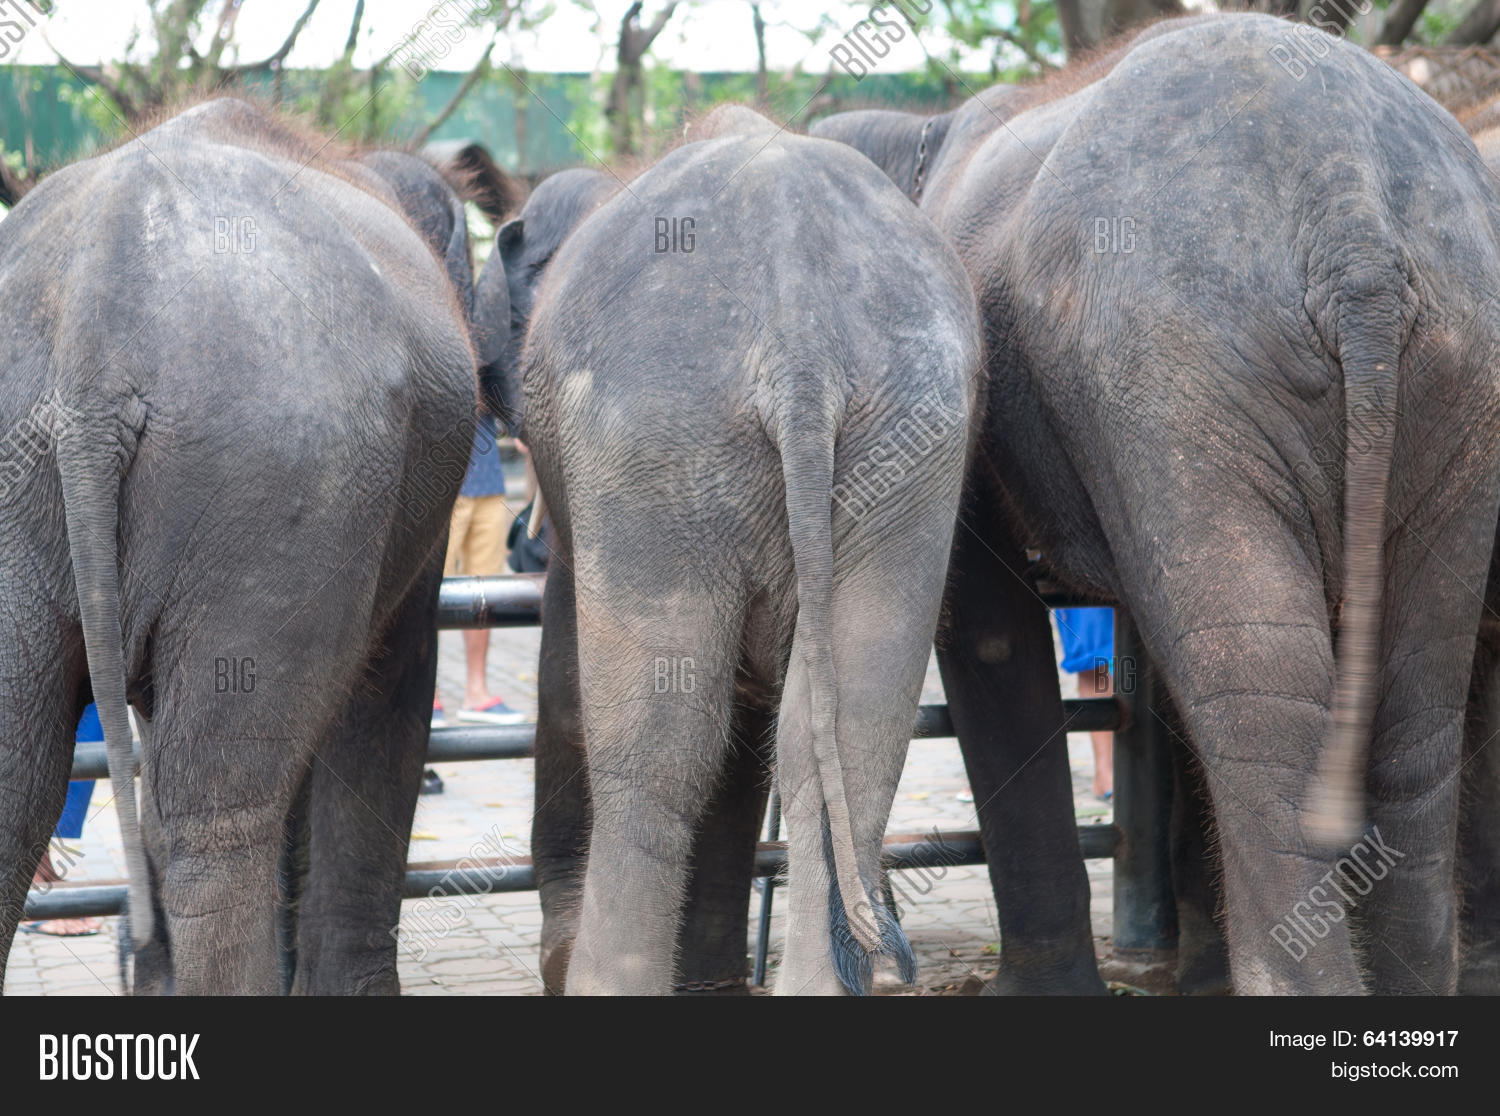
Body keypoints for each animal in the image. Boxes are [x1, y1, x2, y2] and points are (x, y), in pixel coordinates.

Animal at [476, 105, 981, 994]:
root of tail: (800, 336)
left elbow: (565, 680)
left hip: (650, 443)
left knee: (654, 748)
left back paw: (596, 981)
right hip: (909, 445)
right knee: (848, 731)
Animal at [813, 12, 1500, 993]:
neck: (917, 135)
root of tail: (1355, 228)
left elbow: (984, 630)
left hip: (1177, 372)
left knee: (1267, 718)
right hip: (1457, 368)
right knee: (1414, 706)